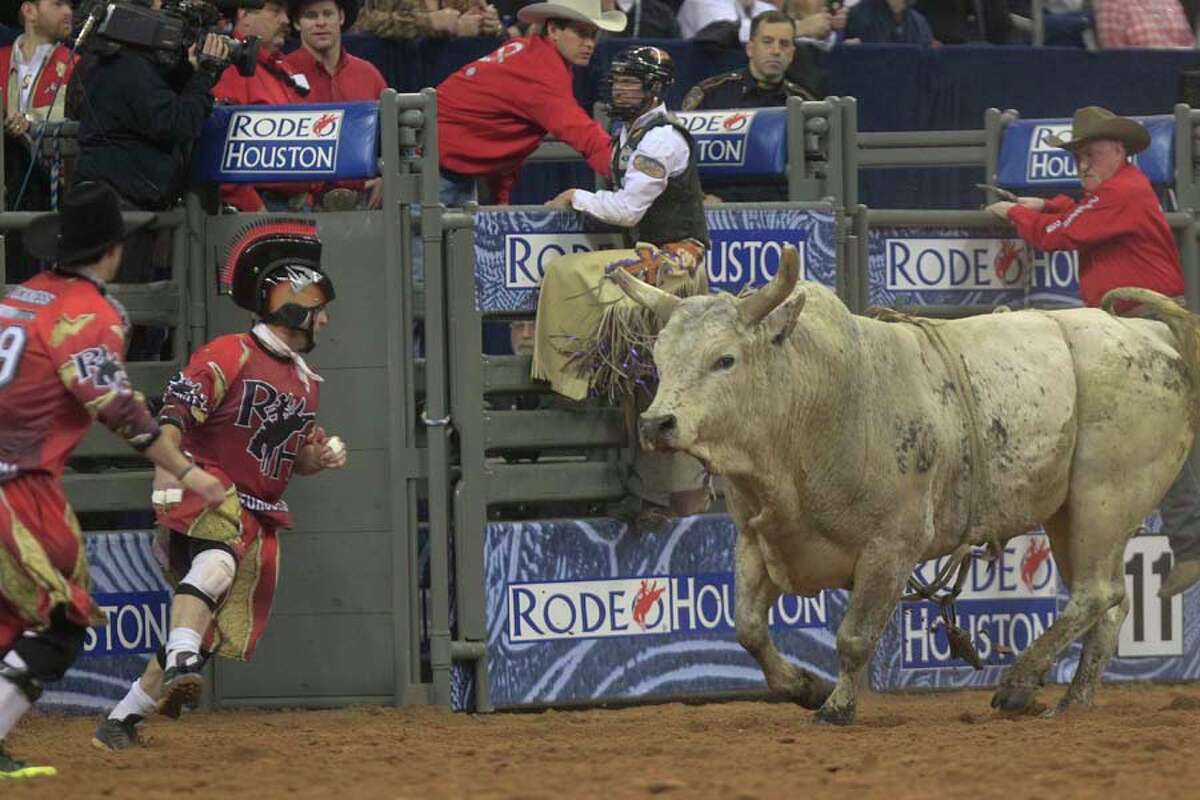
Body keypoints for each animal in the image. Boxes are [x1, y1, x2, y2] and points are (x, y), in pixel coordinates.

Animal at [611, 244, 1199, 725]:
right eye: (657, 358)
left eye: (725, 359)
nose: (657, 424)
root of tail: (1151, 336)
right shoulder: (757, 539)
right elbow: (748, 629)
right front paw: (804, 687)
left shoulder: (890, 548)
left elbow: (854, 638)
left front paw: (837, 707)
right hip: (1070, 515)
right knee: (1110, 601)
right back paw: (1070, 700)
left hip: (1104, 499)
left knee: (1094, 594)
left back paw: (1016, 685)